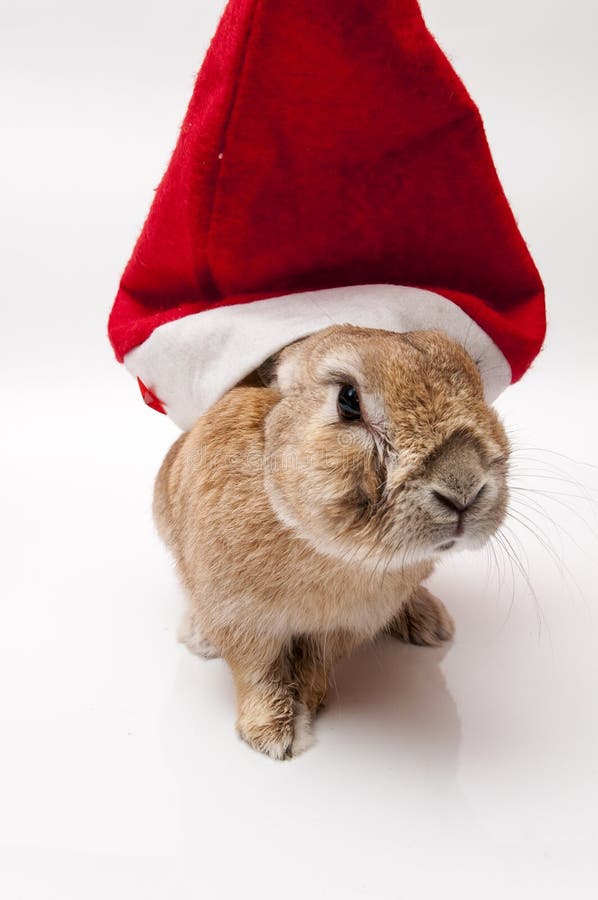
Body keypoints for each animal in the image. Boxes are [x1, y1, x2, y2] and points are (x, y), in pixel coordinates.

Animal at [153, 325, 510, 759]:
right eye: (348, 401)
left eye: (476, 383)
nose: (463, 490)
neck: (328, 548)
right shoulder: (238, 617)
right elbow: (257, 671)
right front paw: (273, 736)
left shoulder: (345, 626)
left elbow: (316, 663)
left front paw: (307, 702)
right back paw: (200, 637)